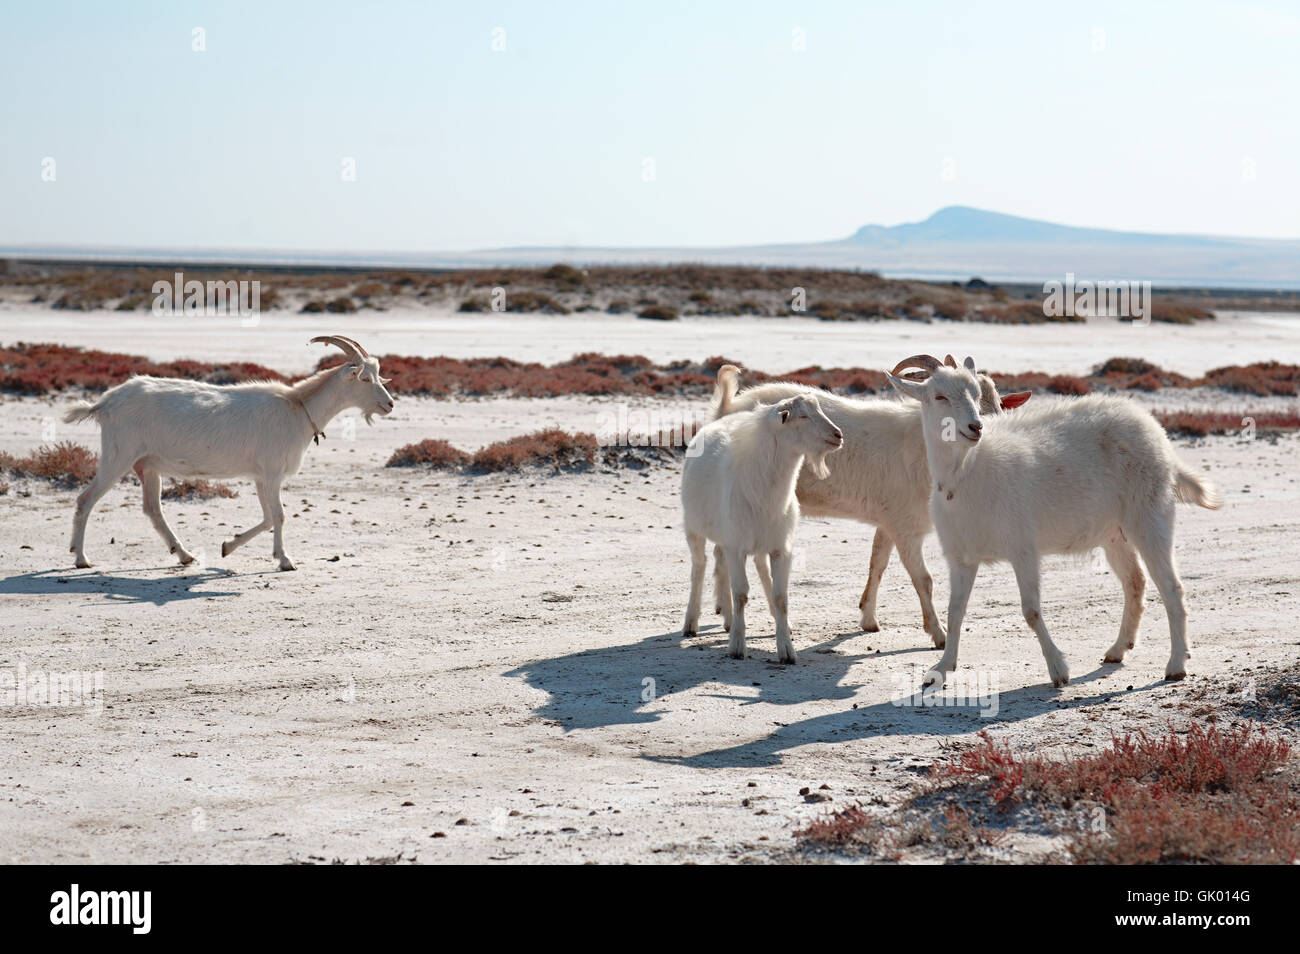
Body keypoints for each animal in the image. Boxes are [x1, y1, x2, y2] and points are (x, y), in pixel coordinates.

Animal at [64, 335, 394, 571]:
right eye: (365, 379)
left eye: (379, 376)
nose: (389, 404)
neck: (297, 409)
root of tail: (106, 402)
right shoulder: (272, 473)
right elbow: (279, 516)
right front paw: (285, 560)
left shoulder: (261, 476)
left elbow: (269, 518)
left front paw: (227, 547)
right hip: (118, 456)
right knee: (85, 500)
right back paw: (81, 558)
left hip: (147, 465)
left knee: (153, 510)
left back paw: (185, 555)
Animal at [681, 394, 843, 664]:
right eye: (802, 416)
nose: (838, 435)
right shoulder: (737, 546)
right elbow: (741, 594)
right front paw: (737, 646)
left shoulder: (780, 548)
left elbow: (780, 597)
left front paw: (786, 649)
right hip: (694, 529)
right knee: (699, 566)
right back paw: (691, 623)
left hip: (748, 539)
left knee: (735, 564)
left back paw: (729, 618)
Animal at [712, 358, 1030, 645]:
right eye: (940, 396)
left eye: (986, 398)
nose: (978, 427)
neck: (920, 446)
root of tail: (727, 409)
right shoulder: (905, 527)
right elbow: (923, 579)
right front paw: (938, 634)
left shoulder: (890, 520)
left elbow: (877, 562)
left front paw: (868, 619)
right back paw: (727, 616)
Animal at [887, 355, 1222, 687]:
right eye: (939, 396)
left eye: (975, 393)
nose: (975, 427)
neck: (967, 471)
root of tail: (1158, 436)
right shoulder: (961, 558)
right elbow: (956, 611)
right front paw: (941, 668)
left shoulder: (1023, 550)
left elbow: (1031, 611)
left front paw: (1059, 670)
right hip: (1115, 535)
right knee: (1135, 582)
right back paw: (1117, 649)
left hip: (1150, 518)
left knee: (1171, 587)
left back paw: (1176, 664)